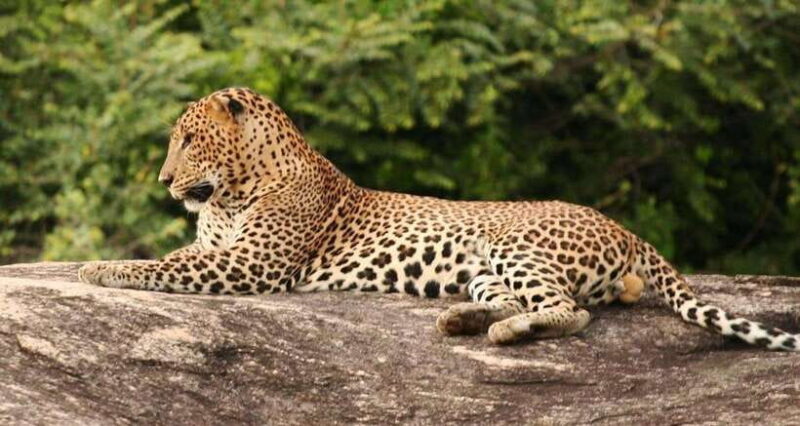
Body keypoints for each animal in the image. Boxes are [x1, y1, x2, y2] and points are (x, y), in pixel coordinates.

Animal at [79, 87, 799, 351]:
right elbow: (175, 256)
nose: (165, 181)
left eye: (188, 140)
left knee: (571, 310)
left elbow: (162, 264)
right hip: (483, 267)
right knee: (523, 300)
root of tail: (624, 227)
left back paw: (503, 333)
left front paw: (97, 268)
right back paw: (464, 320)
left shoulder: (253, 264)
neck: (231, 191)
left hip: (518, 247)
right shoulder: (227, 251)